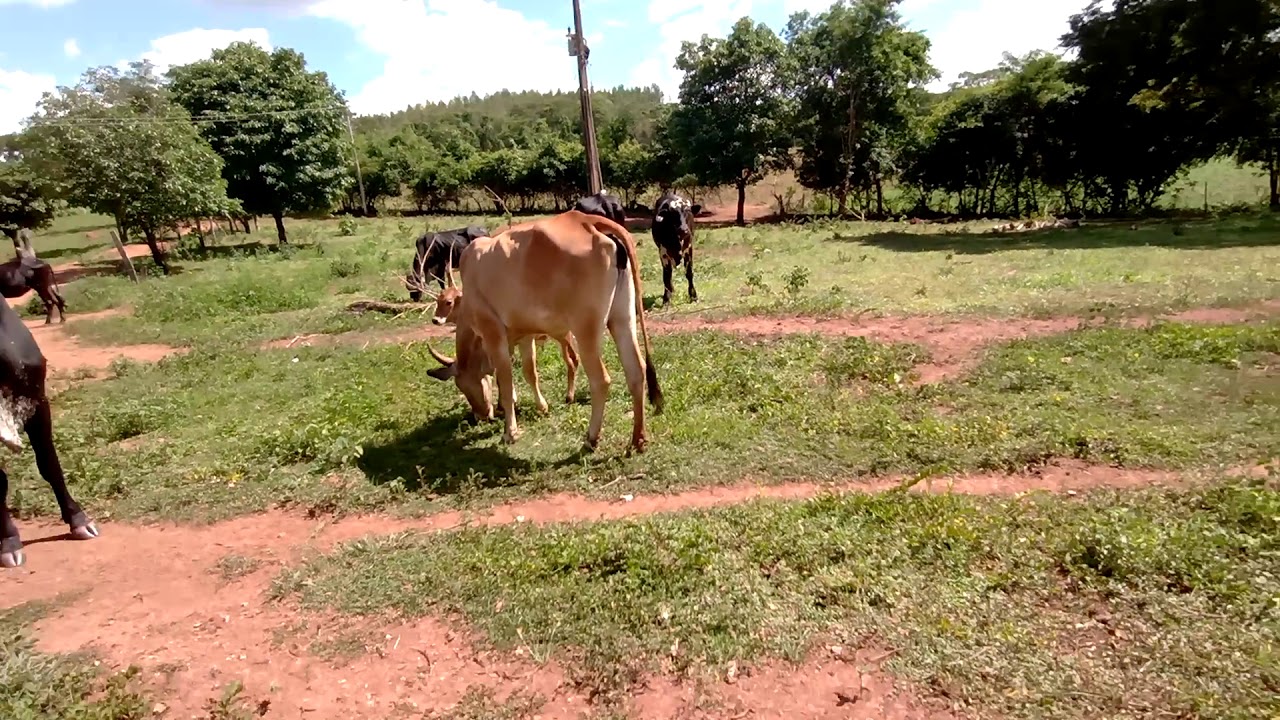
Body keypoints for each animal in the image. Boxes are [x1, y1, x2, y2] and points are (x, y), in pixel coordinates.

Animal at [422, 258, 581, 413]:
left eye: (449, 302)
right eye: (460, 386)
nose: (482, 415)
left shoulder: (526, 339)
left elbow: (529, 372)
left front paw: (542, 407)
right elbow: (501, 374)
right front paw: (504, 404)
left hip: (564, 333)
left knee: (573, 359)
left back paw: (570, 396)